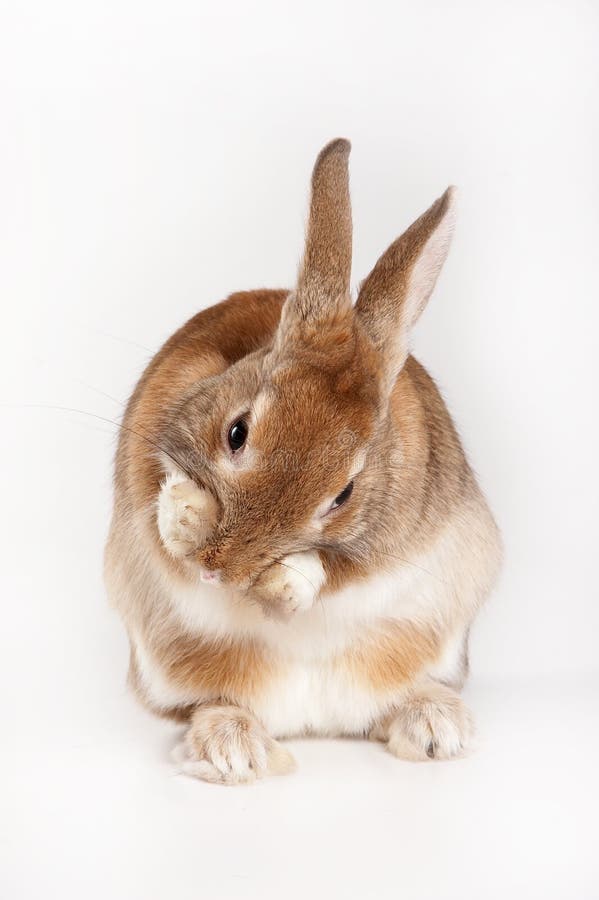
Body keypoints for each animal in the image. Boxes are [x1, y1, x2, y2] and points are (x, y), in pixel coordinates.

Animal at [104, 138, 502, 785]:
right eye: (236, 432)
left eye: (342, 495)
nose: (217, 569)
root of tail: (316, 721)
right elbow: (158, 507)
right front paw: (184, 515)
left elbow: (338, 571)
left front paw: (291, 580)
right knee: (207, 703)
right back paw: (233, 750)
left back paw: (434, 726)